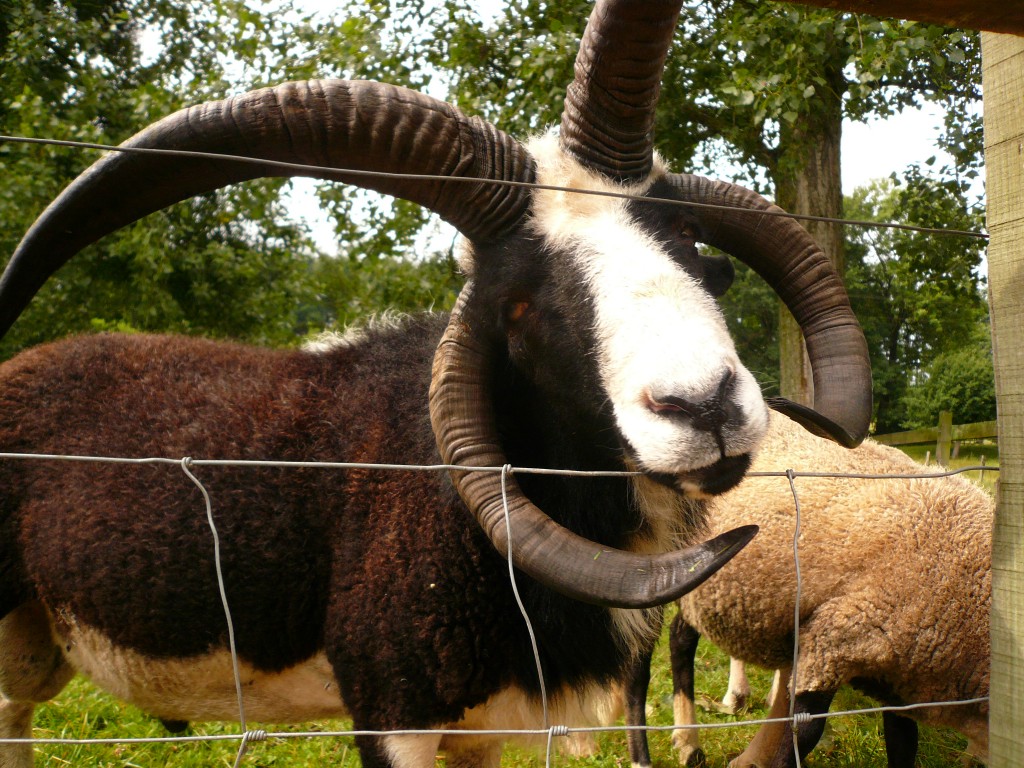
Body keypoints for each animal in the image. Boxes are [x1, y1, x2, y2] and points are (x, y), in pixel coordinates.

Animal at [621, 411, 991, 768]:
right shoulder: (836, 642)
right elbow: (804, 734)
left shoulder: (899, 676)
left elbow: (903, 744)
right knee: (639, 667)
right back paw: (652, 754)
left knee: (681, 636)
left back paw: (696, 738)